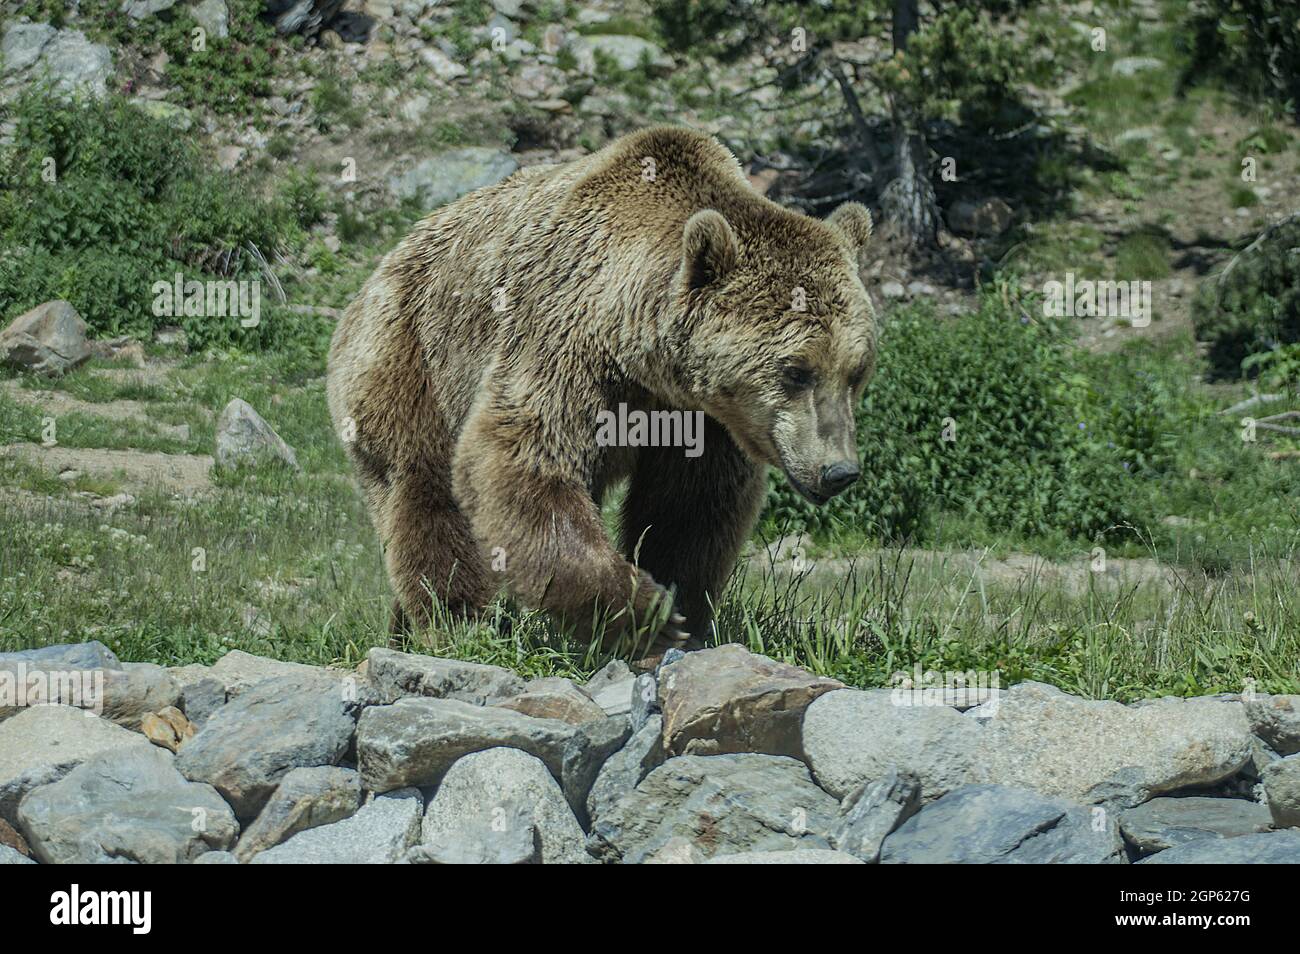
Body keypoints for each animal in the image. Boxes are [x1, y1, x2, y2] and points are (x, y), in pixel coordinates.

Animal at [326, 125, 877, 652]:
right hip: (412, 359)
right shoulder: (567, 339)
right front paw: (647, 613)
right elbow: (520, 457)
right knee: (427, 495)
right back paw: (452, 622)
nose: (839, 470)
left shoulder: (703, 416)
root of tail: (373, 277)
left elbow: (691, 507)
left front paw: (682, 607)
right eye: (796, 370)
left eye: (857, 371)